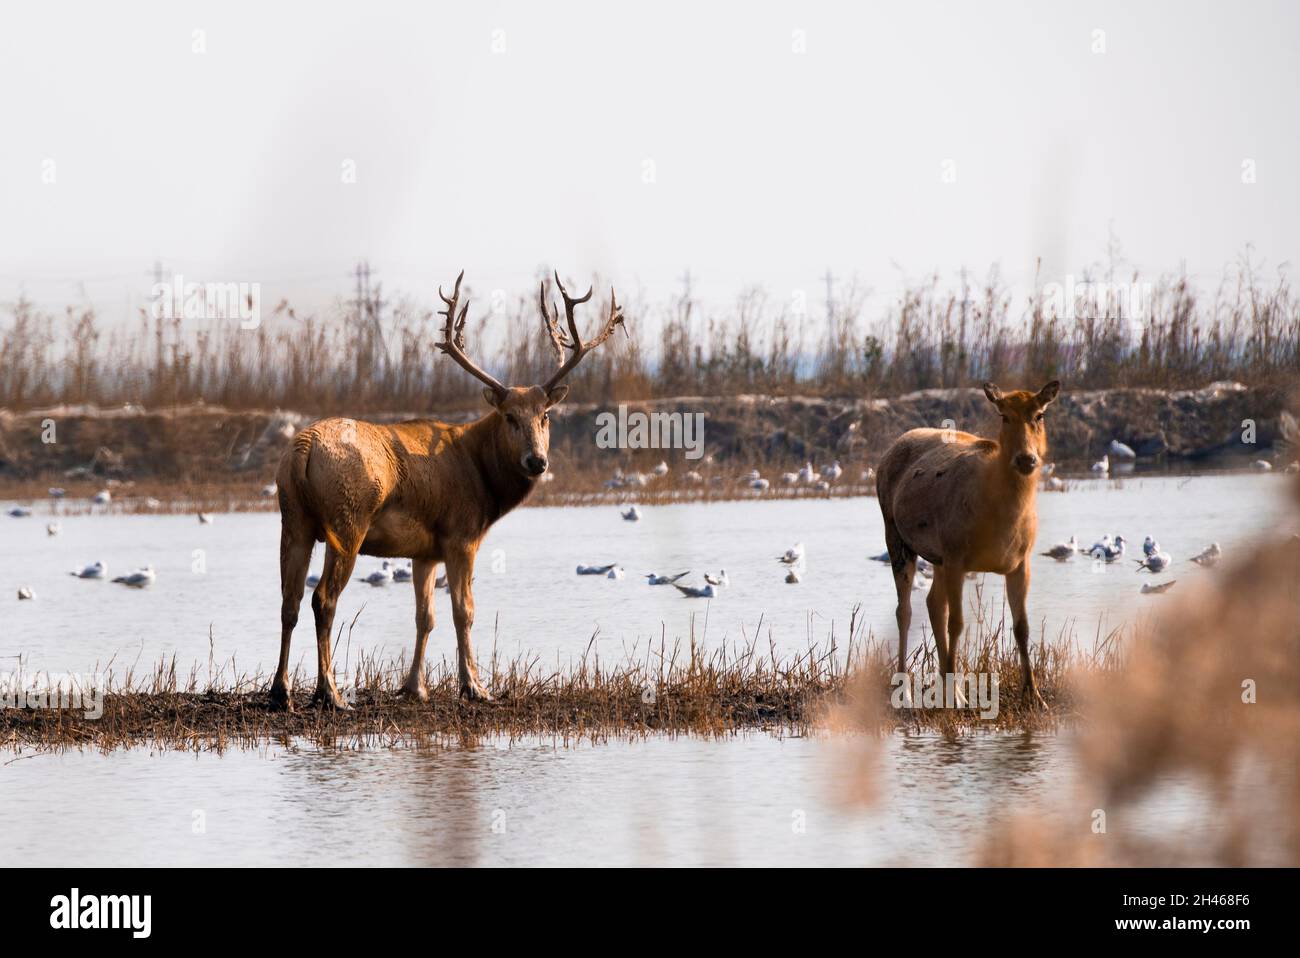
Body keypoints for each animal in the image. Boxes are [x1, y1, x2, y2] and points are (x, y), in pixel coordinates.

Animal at [270, 270, 624, 709]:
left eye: (545, 416)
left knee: (289, 601)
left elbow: (425, 617)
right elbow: (463, 611)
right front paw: (475, 686)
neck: (483, 478)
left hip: (294, 520)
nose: (536, 461)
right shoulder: (461, 535)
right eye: (509, 416)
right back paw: (330, 693)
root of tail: (302, 449)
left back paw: (280, 690)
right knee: (323, 599)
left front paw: (414, 686)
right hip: (347, 522)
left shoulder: (424, 552)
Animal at [875, 380, 1061, 708]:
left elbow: (1022, 627)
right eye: (1004, 415)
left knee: (933, 603)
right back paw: (907, 691)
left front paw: (1035, 695)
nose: (1026, 458)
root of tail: (887, 453)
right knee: (905, 610)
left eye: (1039, 415)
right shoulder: (956, 555)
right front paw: (952, 699)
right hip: (896, 534)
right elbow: (958, 623)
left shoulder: (1021, 561)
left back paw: (951, 688)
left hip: (936, 558)